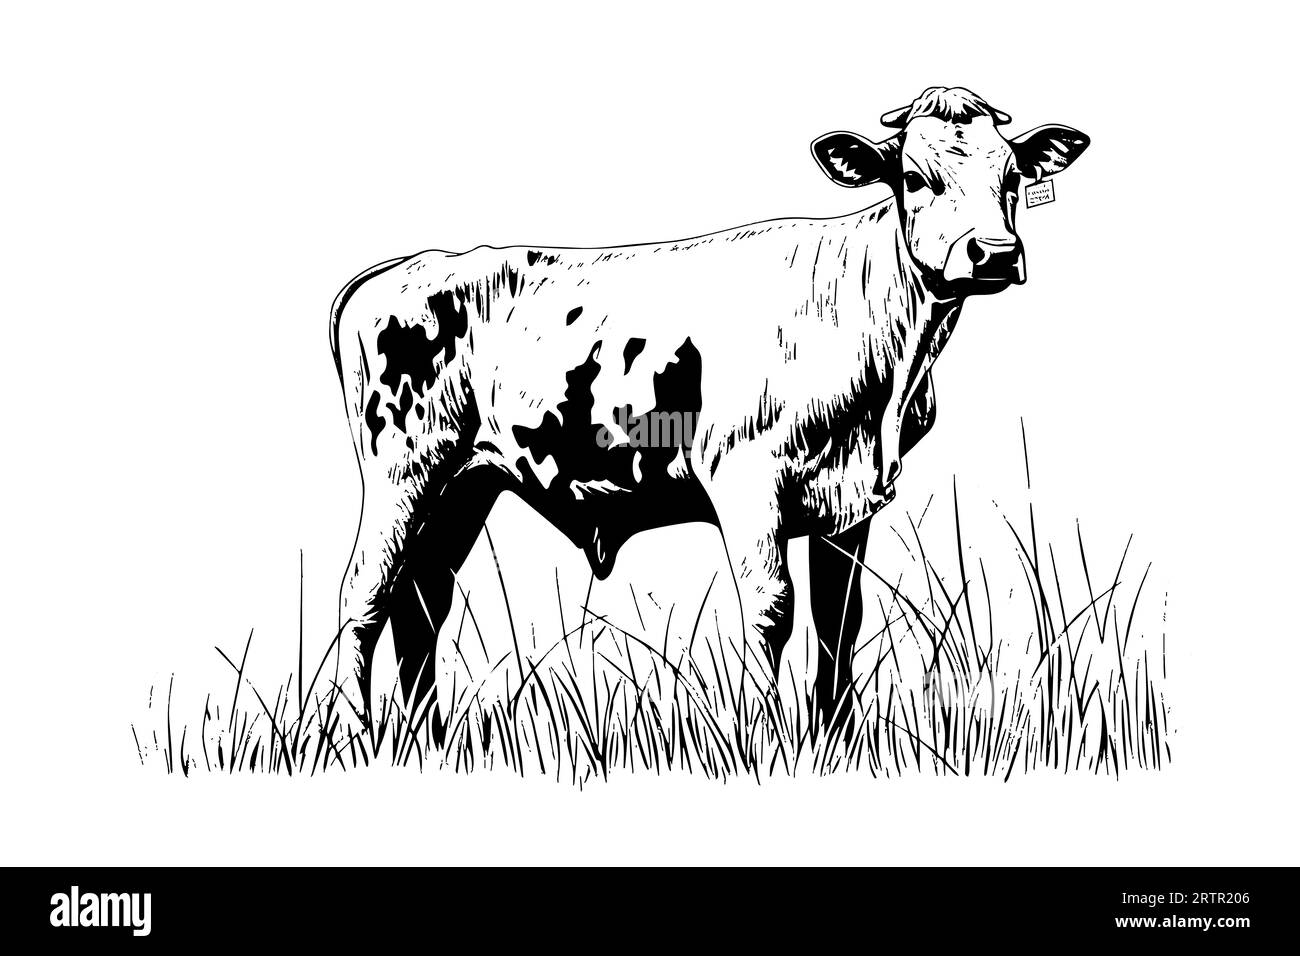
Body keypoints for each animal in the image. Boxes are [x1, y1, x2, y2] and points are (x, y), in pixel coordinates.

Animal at [329, 86, 1089, 730]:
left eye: (1012, 178)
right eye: (914, 178)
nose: (994, 253)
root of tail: (401, 269)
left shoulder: (849, 501)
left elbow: (839, 618)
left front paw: (833, 738)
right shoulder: (749, 481)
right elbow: (772, 611)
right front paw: (764, 738)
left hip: (465, 484)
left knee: (423, 599)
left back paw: (424, 736)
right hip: (402, 471)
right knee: (365, 597)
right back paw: (355, 732)